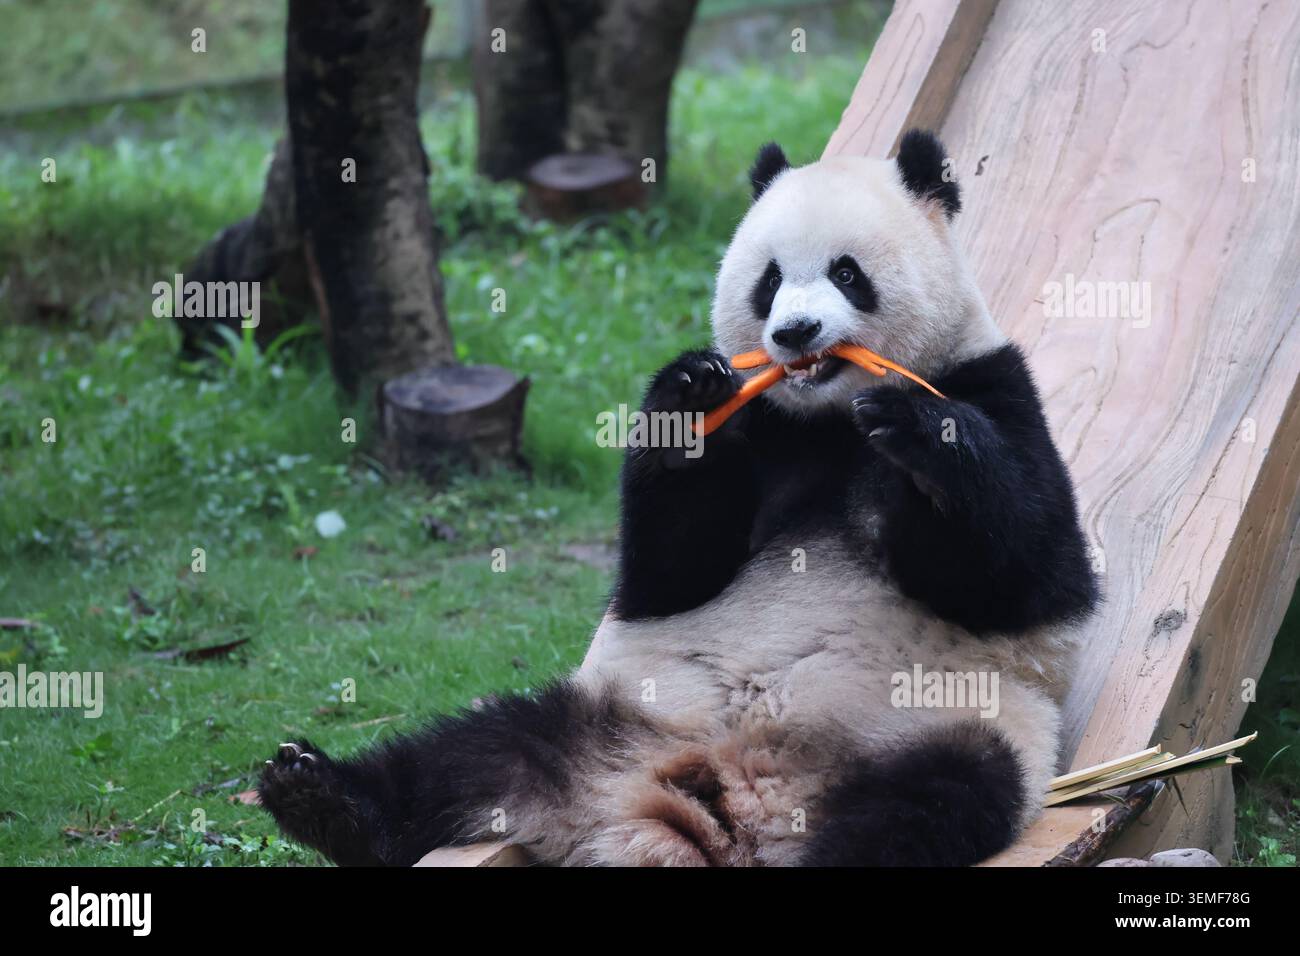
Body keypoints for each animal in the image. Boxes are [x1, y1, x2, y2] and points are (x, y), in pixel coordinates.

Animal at [257, 129, 1098, 867]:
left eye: (847, 272)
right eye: (768, 280)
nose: (794, 333)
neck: (827, 419)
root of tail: (723, 800)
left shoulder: (995, 386)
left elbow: (1027, 573)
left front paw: (915, 431)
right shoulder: (763, 431)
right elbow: (672, 568)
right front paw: (689, 392)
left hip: (942, 733)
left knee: (922, 808)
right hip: (617, 715)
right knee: (476, 752)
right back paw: (320, 795)